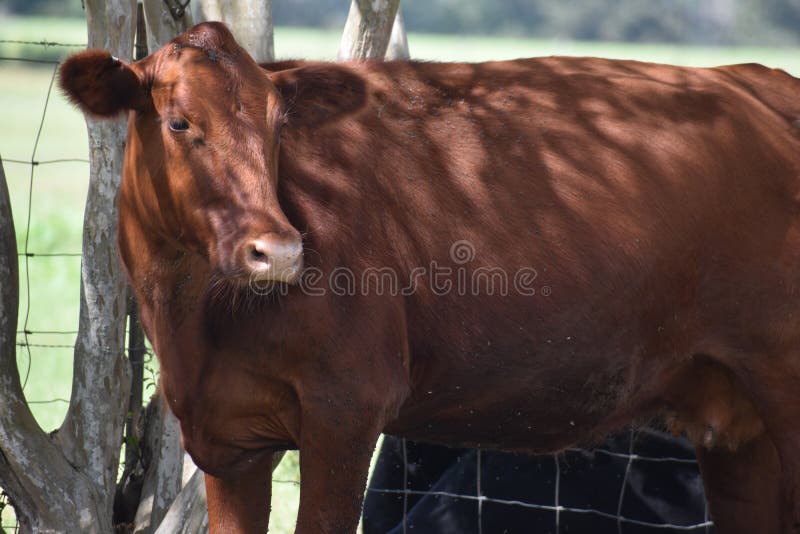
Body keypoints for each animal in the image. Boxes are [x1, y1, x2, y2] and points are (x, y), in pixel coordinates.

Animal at [59, 22, 800, 533]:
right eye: (180, 122)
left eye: (276, 126)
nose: (280, 251)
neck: (194, 319)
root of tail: (757, 78)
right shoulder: (227, 438)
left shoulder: (346, 409)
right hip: (737, 430)